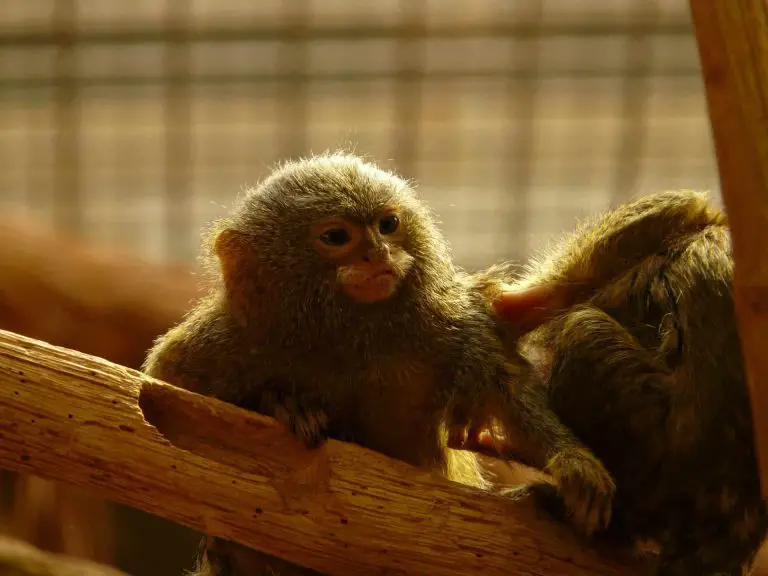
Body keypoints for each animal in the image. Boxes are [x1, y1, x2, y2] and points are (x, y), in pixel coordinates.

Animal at [142, 152, 616, 576]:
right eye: (337, 236)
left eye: (388, 225)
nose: (378, 254)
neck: (345, 335)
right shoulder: (227, 340)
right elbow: (166, 399)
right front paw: (284, 405)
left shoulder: (446, 325)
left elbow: (505, 385)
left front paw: (572, 460)